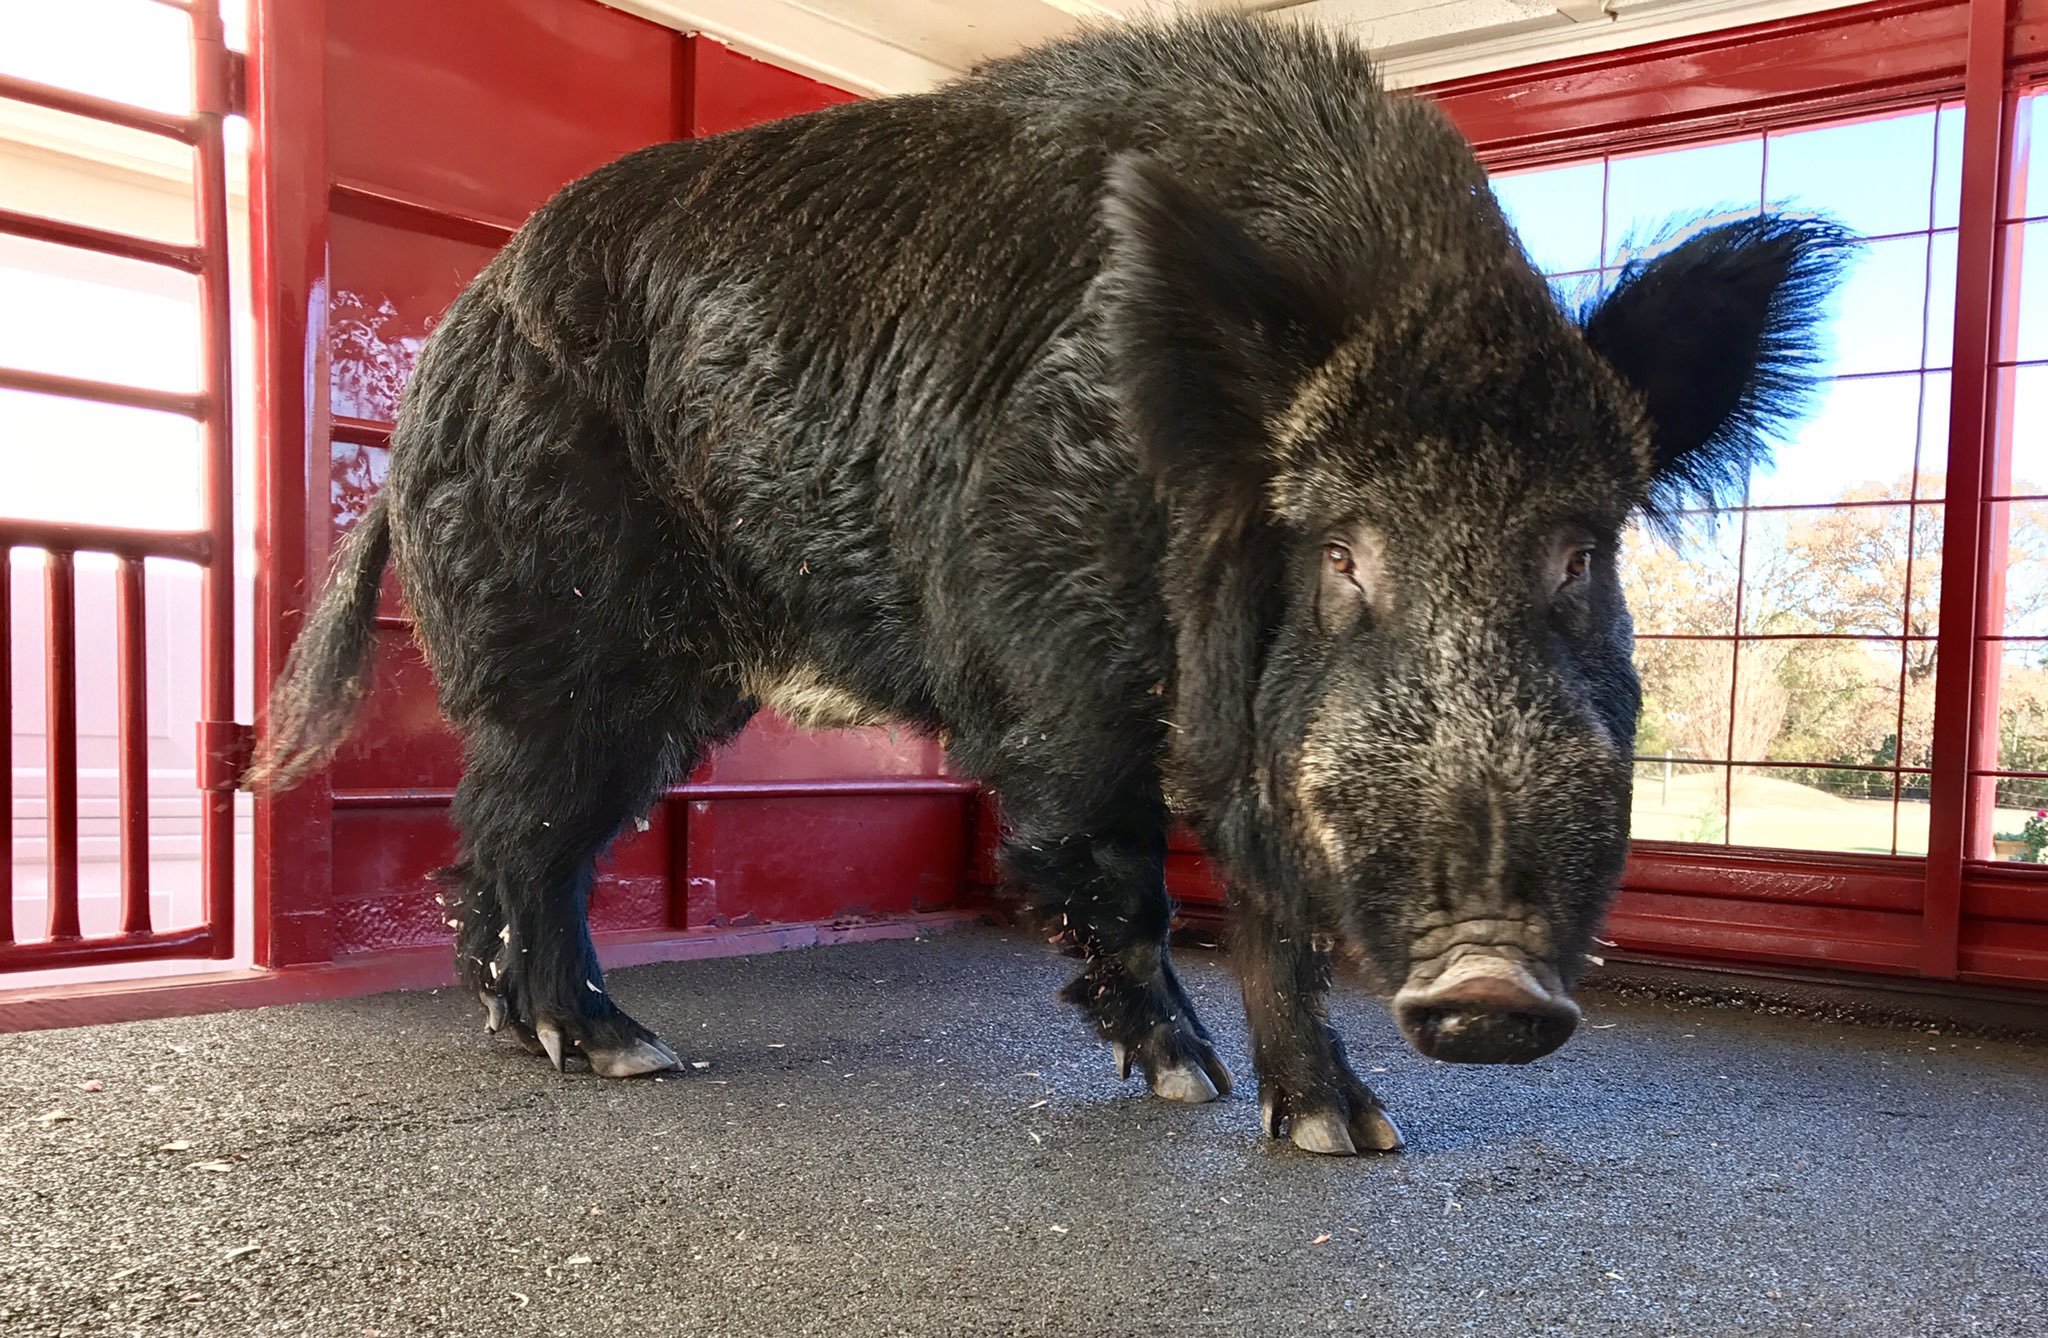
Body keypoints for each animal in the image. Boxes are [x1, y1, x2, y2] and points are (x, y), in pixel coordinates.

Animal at [248, 13, 1845, 1153]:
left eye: (1579, 553)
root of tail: (427, 390)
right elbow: (1118, 865)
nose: (1492, 987)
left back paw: (567, 1037)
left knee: (520, 851)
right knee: (516, 839)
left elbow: (1268, 893)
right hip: (562, 644)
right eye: (1341, 551)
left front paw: (1345, 1134)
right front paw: (1190, 1085)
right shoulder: (1045, 651)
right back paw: (620, 1051)